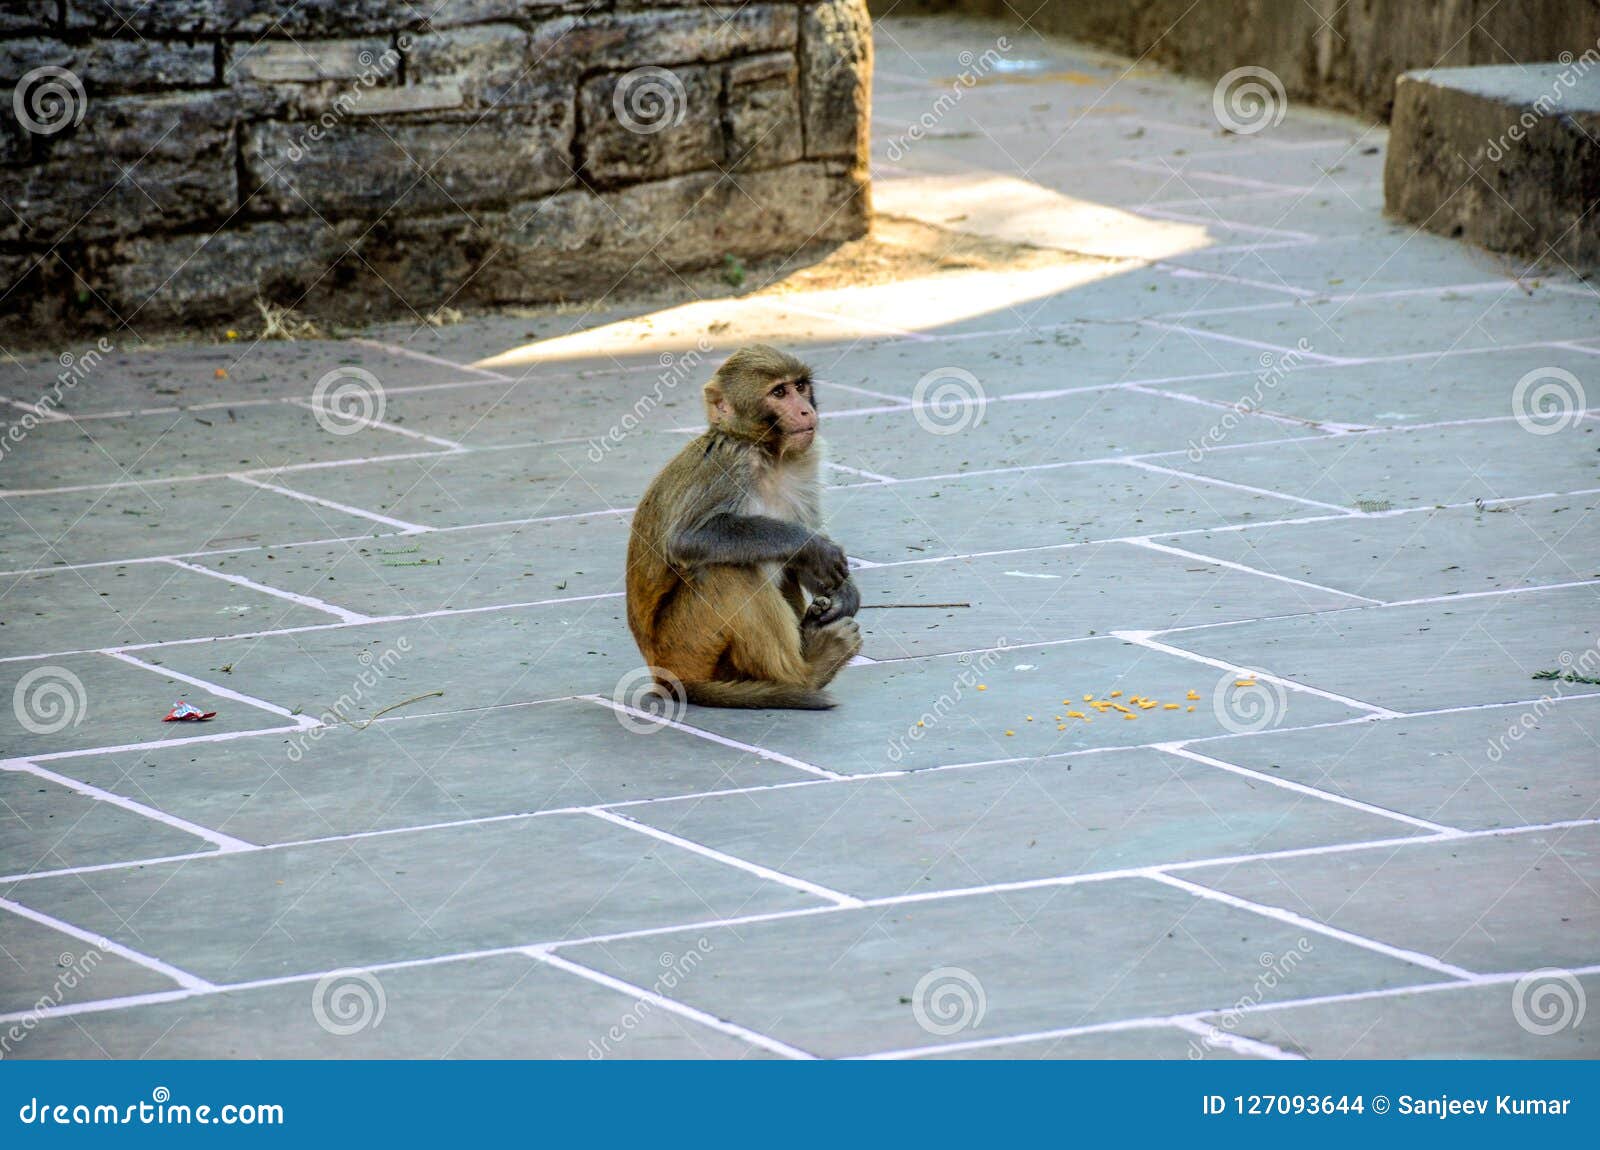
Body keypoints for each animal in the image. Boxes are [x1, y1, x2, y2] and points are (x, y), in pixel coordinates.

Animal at [625, 344, 862, 709]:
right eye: (779, 393)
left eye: (800, 386)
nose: (805, 410)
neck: (768, 454)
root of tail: (659, 675)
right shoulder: (730, 462)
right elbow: (686, 538)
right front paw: (811, 545)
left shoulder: (803, 464)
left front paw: (842, 595)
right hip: (684, 649)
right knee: (728, 570)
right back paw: (810, 671)